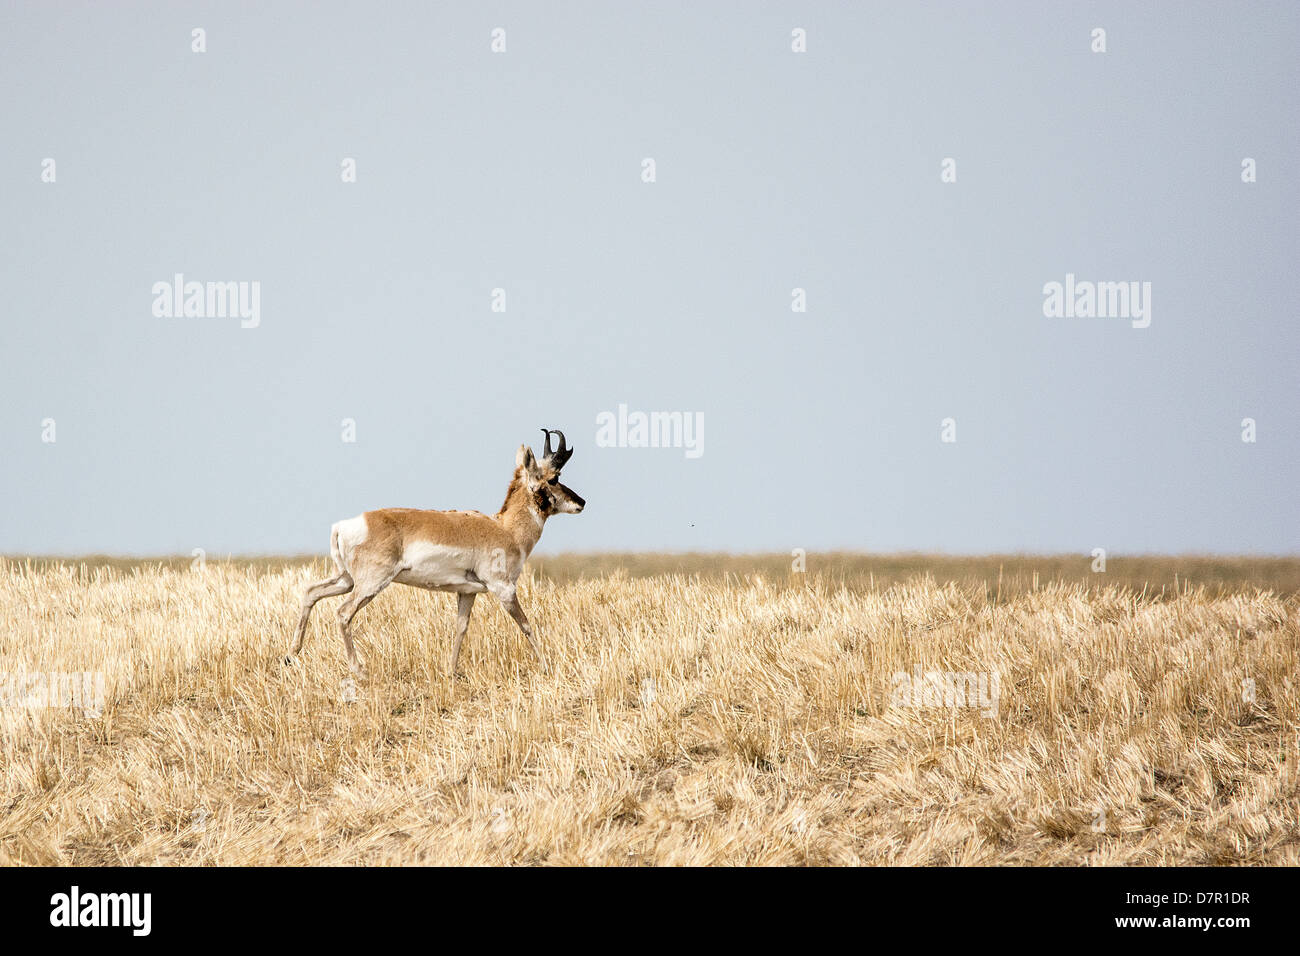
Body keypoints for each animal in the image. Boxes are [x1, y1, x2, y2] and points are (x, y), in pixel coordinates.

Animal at [287, 429, 585, 677]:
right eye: (554, 479)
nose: (582, 502)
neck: (505, 528)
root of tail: (347, 524)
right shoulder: (504, 589)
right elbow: (526, 625)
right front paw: (547, 666)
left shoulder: (467, 592)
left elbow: (461, 628)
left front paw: (452, 671)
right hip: (370, 584)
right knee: (343, 613)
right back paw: (358, 671)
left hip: (346, 580)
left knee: (311, 592)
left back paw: (291, 655)